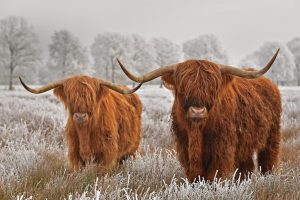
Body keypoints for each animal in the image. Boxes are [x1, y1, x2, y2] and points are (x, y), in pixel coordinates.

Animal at [116, 49, 282, 182]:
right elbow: (195, 175)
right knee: (246, 166)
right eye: (183, 88)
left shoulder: (222, 149)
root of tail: (270, 83)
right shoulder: (184, 147)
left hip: (271, 137)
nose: (197, 111)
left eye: (212, 88)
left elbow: (213, 175)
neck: (197, 131)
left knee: (268, 161)